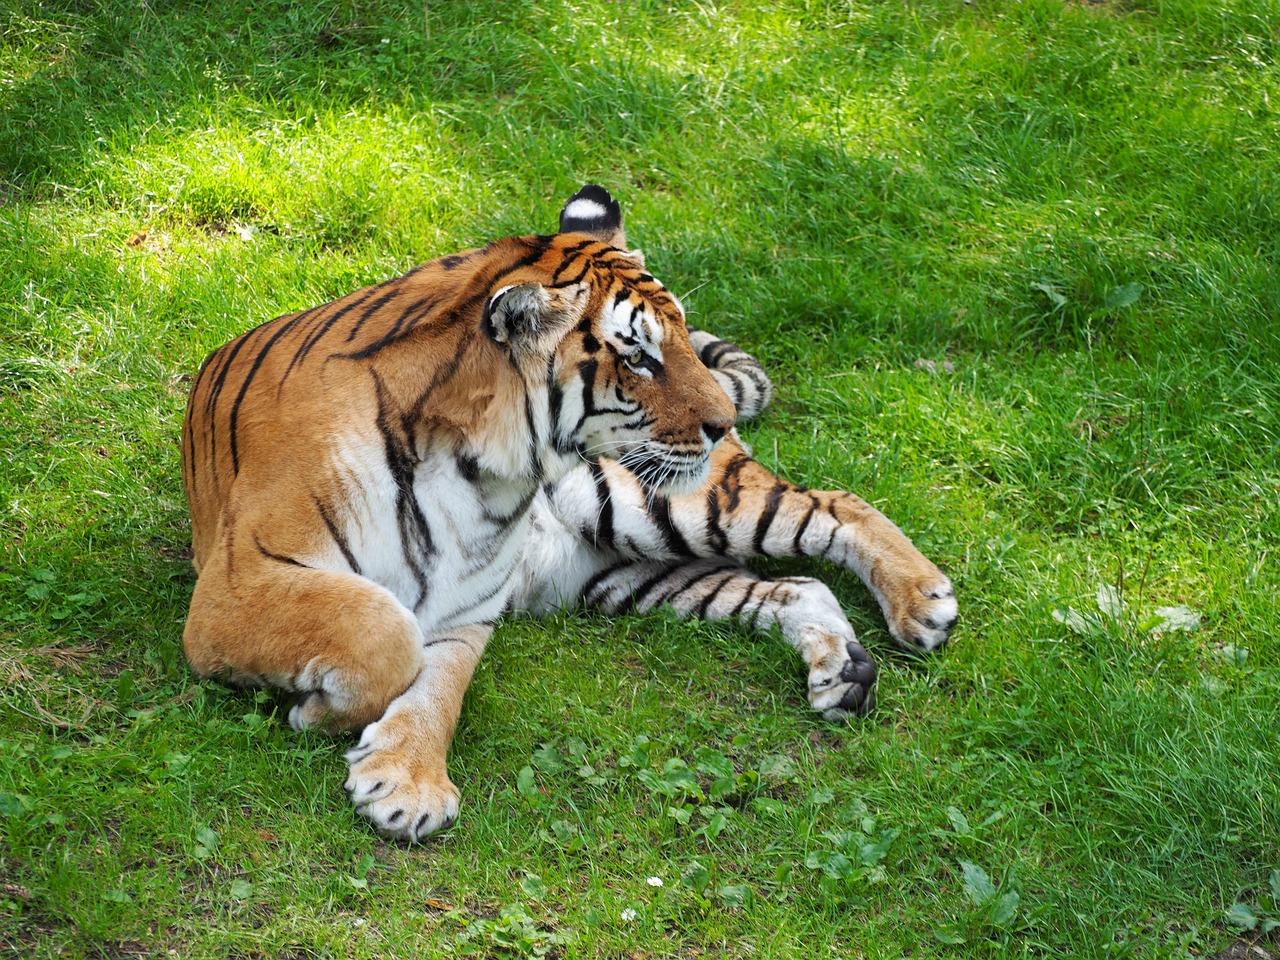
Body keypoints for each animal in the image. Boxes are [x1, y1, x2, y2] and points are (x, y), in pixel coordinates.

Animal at [181, 184, 957, 843]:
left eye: (681, 337)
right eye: (639, 356)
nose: (721, 421)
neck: (476, 471)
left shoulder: (466, 608)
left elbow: (435, 687)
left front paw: (401, 779)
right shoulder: (236, 583)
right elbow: (384, 630)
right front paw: (339, 727)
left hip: (658, 506)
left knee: (835, 505)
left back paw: (922, 604)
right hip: (626, 571)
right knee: (801, 582)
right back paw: (844, 672)